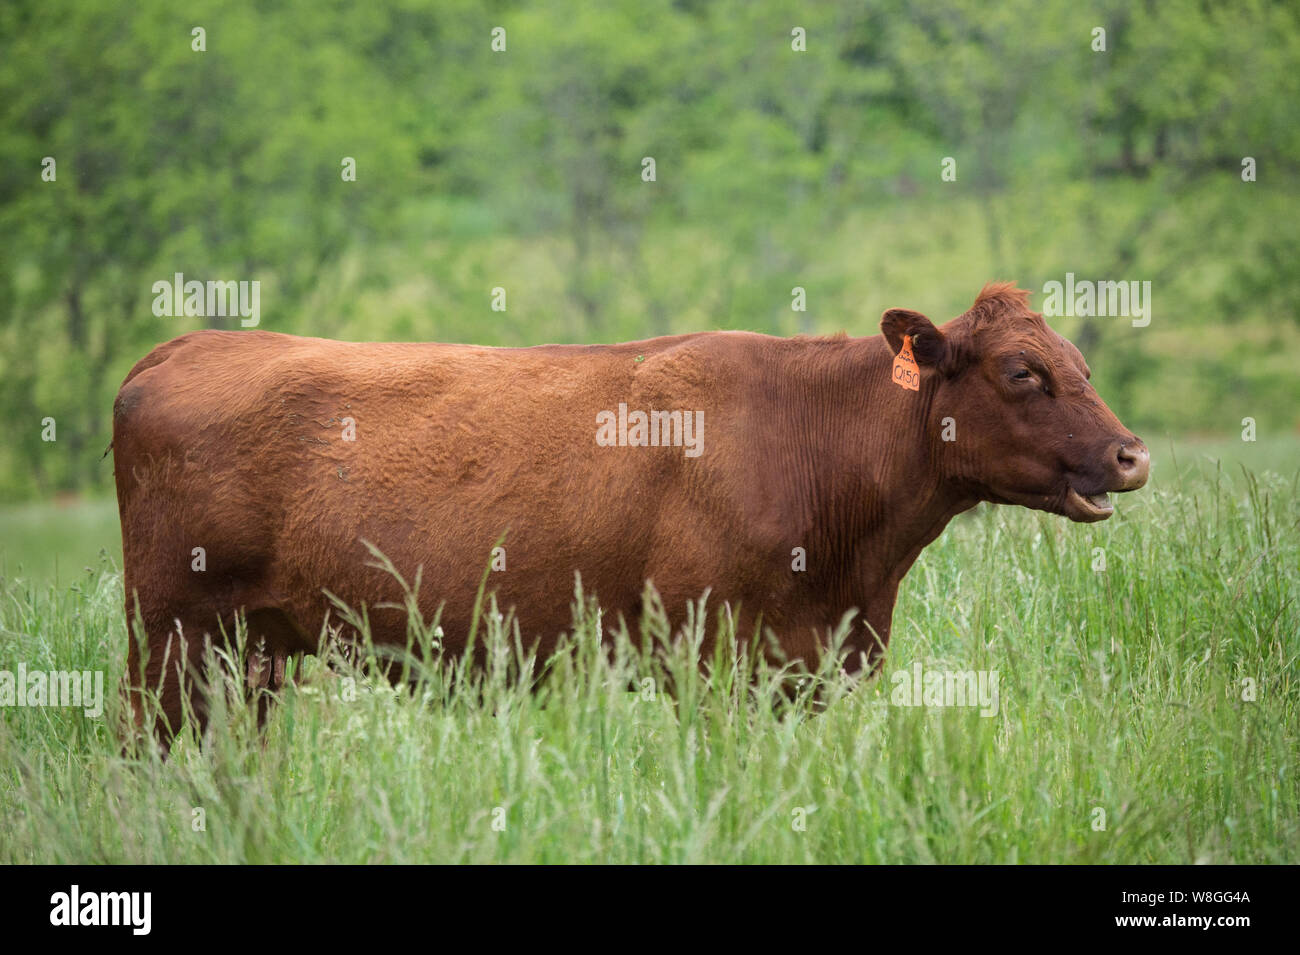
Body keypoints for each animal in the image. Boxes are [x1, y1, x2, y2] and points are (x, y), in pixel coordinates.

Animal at [112, 282, 1148, 744]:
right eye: (1023, 371)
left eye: (1082, 364)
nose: (1130, 453)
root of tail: (181, 348)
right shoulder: (713, 659)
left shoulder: (821, 664)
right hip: (171, 637)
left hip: (250, 653)